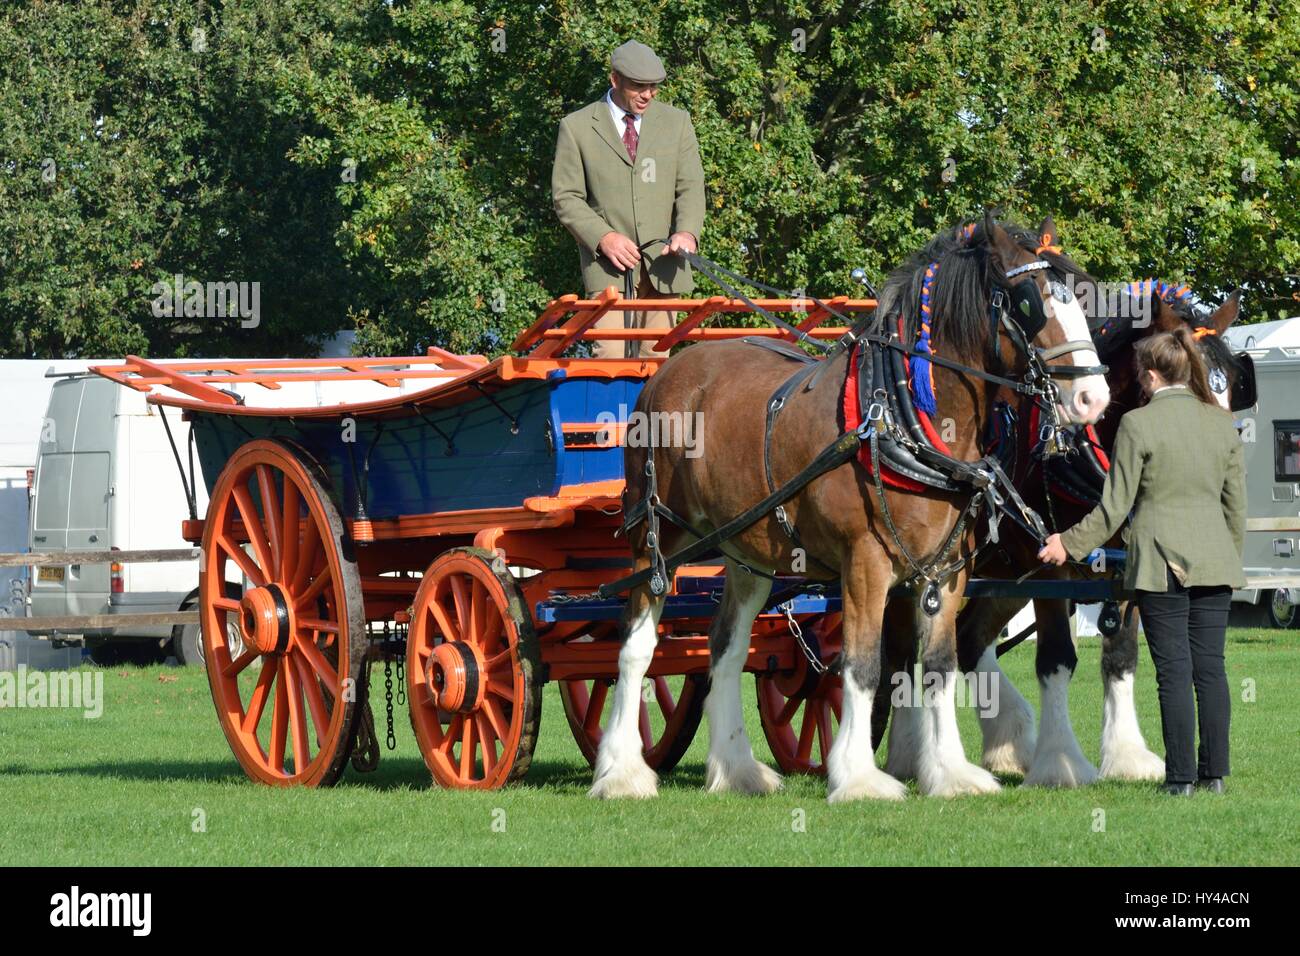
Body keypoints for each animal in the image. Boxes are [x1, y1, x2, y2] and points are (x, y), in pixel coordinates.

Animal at [591, 214, 1110, 801]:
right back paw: (622, 771)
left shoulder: (946, 571)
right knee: (636, 644)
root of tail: (662, 373)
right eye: (1030, 303)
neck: (899, 414)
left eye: (1082, 298)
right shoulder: (865, 564)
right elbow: (862, 666)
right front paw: (859, 777)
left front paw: (949, 772)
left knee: (725, 647)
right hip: (656, 540)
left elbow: (939, 666)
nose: (1093, 398)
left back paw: (737, 768)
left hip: (747, 552)